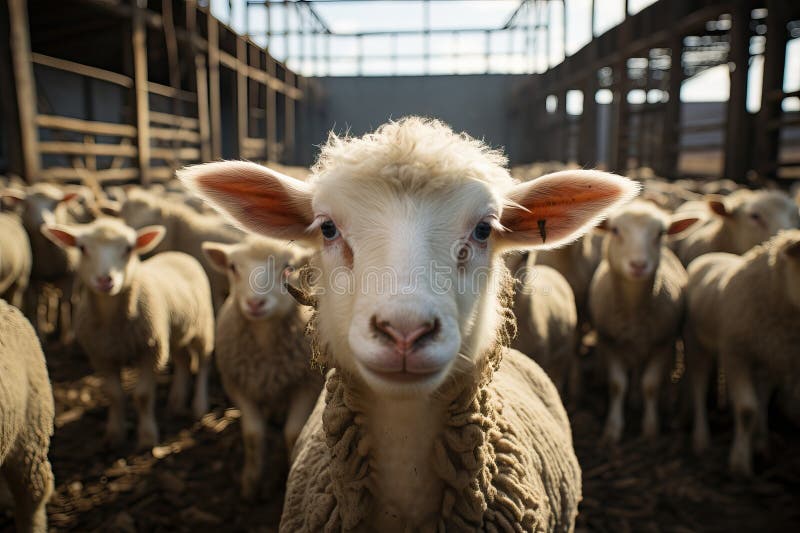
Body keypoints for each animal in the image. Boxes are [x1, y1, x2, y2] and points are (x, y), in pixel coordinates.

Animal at [42, 218, 214, 449]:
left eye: (129, 248)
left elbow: (143, 395)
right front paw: (115, 435)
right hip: (176, 332)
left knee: (203, 361)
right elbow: (114, 394)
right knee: (183, 361)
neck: (113, 324)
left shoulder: (151, 351)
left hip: (202, 326)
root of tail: (177, 254)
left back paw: (199, 406)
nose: (105, 280)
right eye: (82, 248)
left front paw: (148, 438)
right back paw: (176, 403)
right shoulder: (101, 355)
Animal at [202, 235, 323, 500]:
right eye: (233, 267)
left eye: (288, 268)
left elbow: (293, 432)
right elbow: (253, 435)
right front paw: (251, 482)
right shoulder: (238, 386)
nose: (255, 303)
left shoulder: (307, 385)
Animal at [589, 200, 699, 444]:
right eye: (615, 230)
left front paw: (650, 429)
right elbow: (617, 385)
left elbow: (650, 385)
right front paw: (613, 429)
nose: (638, 265)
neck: (634, 312)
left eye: (661, 233)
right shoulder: (610, 342)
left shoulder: (661, 343)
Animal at [684, 230, 800, 476]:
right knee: (698, 383)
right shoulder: (735, 354)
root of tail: (711, 255)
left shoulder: (771, 358)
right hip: (696, 340)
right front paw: (739, 463)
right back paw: (701, 439)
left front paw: (761, 445)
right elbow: (747, 409)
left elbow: (762, 403)